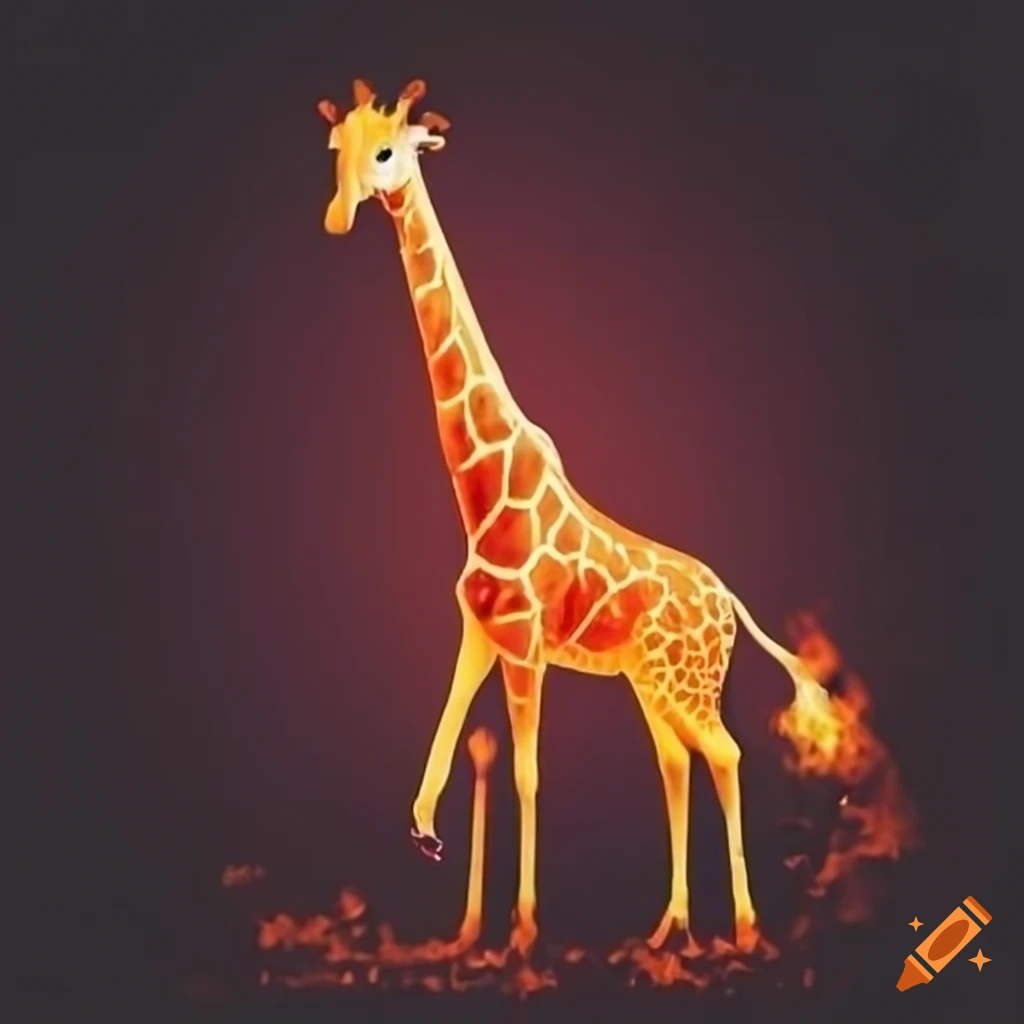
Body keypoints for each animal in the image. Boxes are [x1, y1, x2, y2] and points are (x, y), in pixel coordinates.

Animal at [316, 78, 839, 956]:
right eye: (337, 149)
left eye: (387, 151)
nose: (337, 217)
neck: (483, 491)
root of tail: (730, 603)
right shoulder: (480, 632)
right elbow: (449, 733)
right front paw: (428, 836)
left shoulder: (525, 646)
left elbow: (529, 772)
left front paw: (525, 925)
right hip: (650, 682)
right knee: (676, 762)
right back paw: (667, 927)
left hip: (687, 684)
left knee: (726, 753)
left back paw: (740, 926)